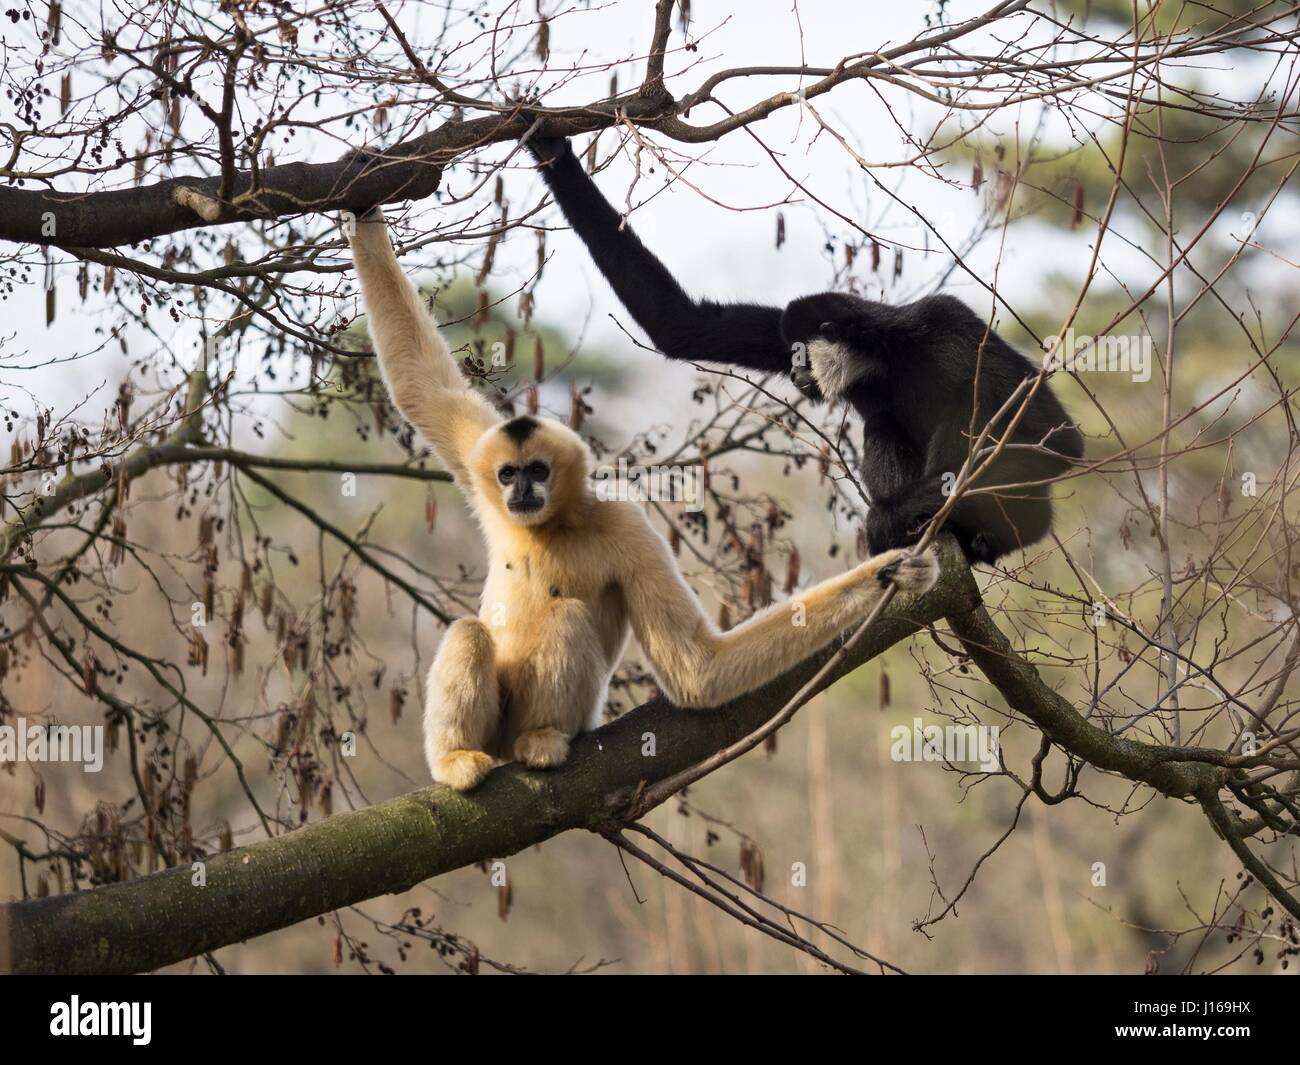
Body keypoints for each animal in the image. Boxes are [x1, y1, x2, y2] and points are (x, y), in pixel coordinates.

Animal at [347, 206, 940, 791]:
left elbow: (698, 668)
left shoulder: (628, 526)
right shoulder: (481, 465)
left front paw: (893, 571)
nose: (520, 490)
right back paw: (456, 759)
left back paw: (541, 738)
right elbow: (424, 387)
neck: (556, 523)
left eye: (538, 471)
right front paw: (363, 205)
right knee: (471, 632)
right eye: (509, 472)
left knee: (566, 616)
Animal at [526, 136, 1084, 565]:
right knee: (883, 424)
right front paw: (552, 150)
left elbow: (1058, 440)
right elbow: (683, 326)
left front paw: (888, 518)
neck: (886, 361)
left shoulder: (948, 328)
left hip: (1027, 512)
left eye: (800, 353)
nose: (796, 370)